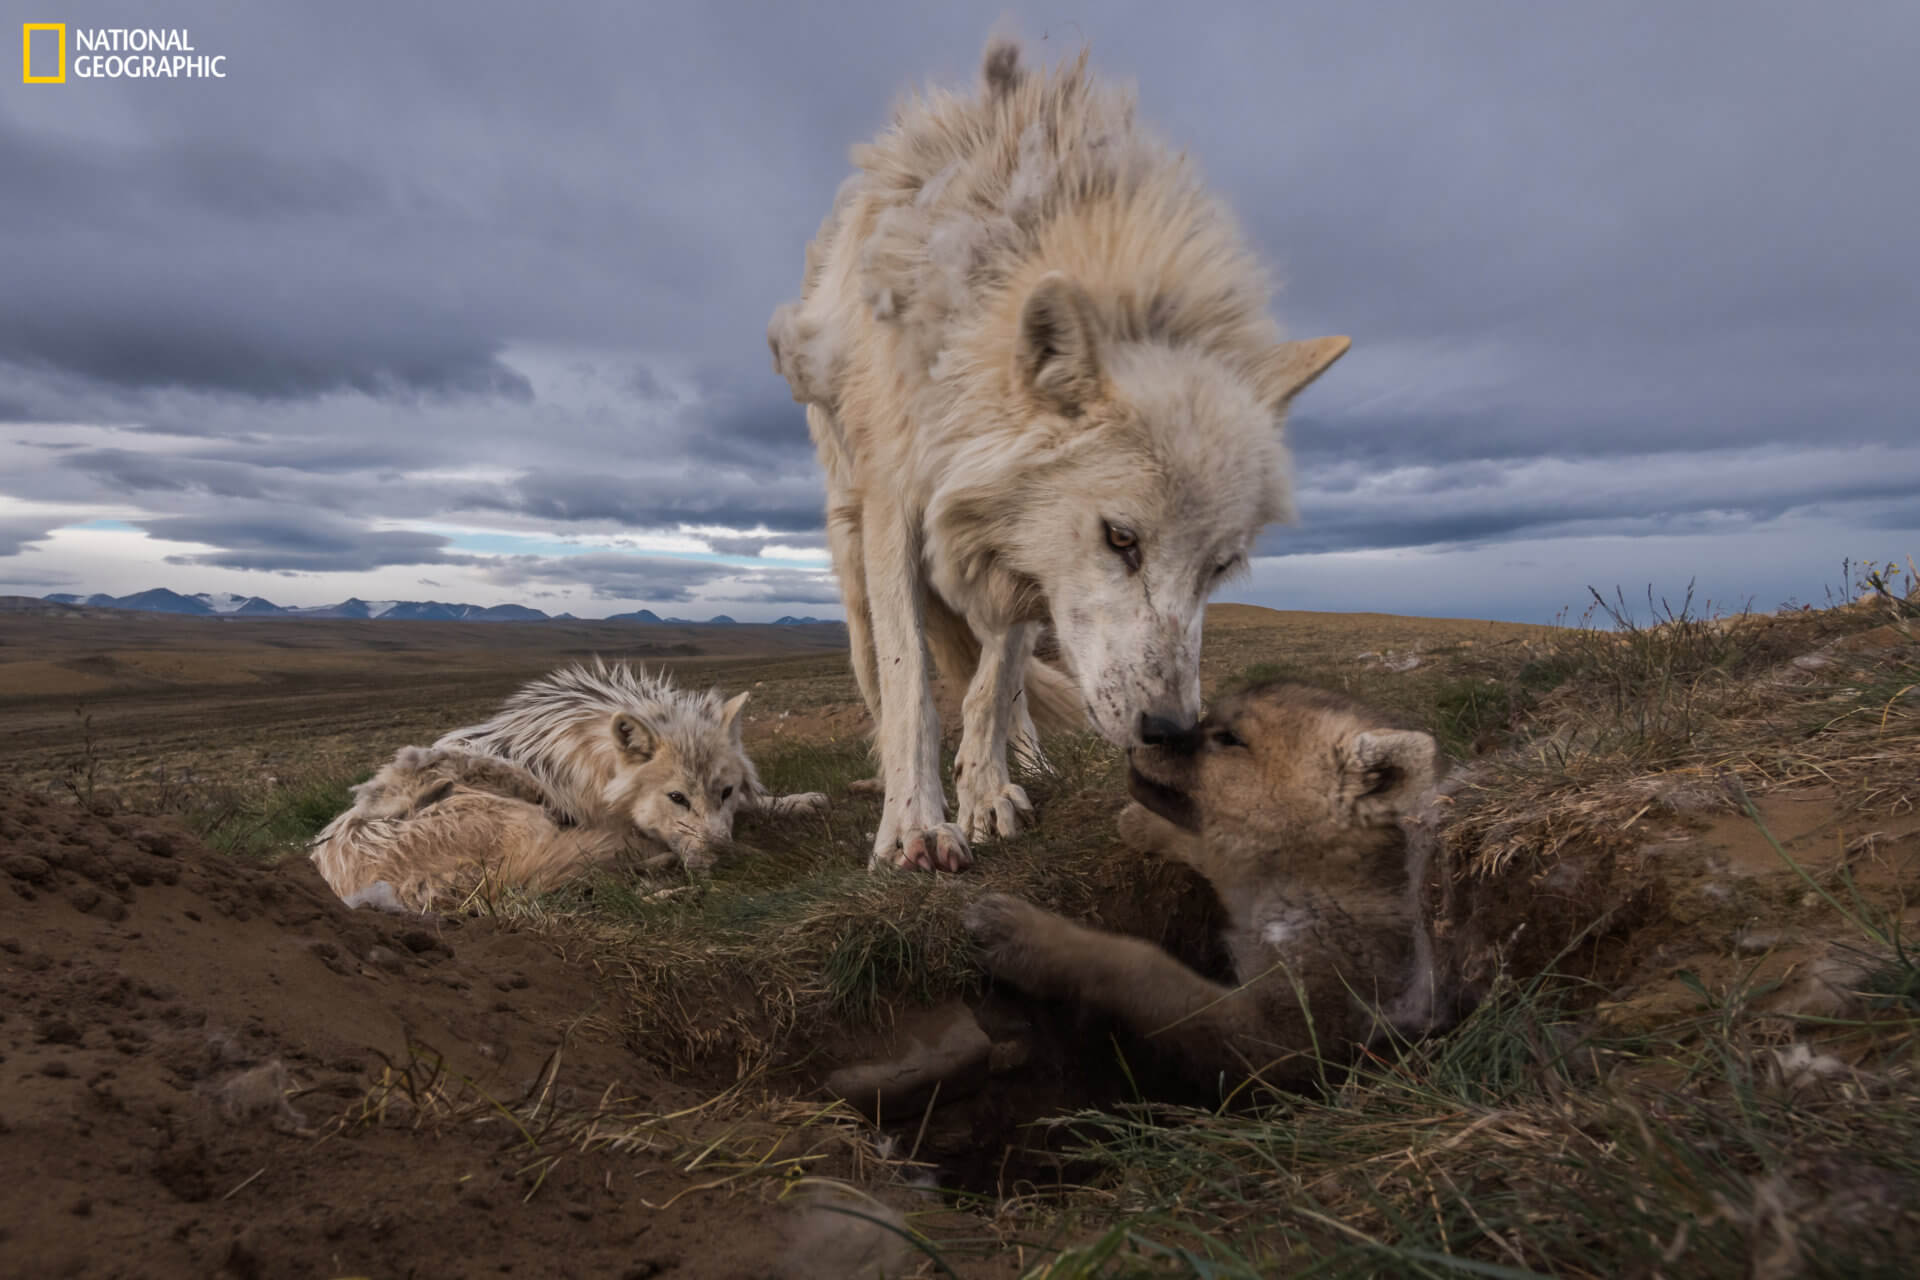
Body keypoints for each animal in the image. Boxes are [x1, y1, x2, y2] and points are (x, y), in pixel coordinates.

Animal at [769, 37, 1350, 873]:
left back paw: (1022, 763)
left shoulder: (1020, 551)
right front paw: (914, 826)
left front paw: (986, 794)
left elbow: (994, 682)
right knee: (877, 671)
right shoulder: (904, 504)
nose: (1172, 731)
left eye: (1220, 568)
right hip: (848, 538)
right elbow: (912, 686)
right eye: (1121, 538)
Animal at [964, 682, 1443, 1097]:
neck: (1316, 878)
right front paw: (1142, 823)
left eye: (1229, 739)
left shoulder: (1280, 1038)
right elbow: (1207, 849)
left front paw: (1026, 935)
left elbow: (1143, 965)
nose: (1148, 727)